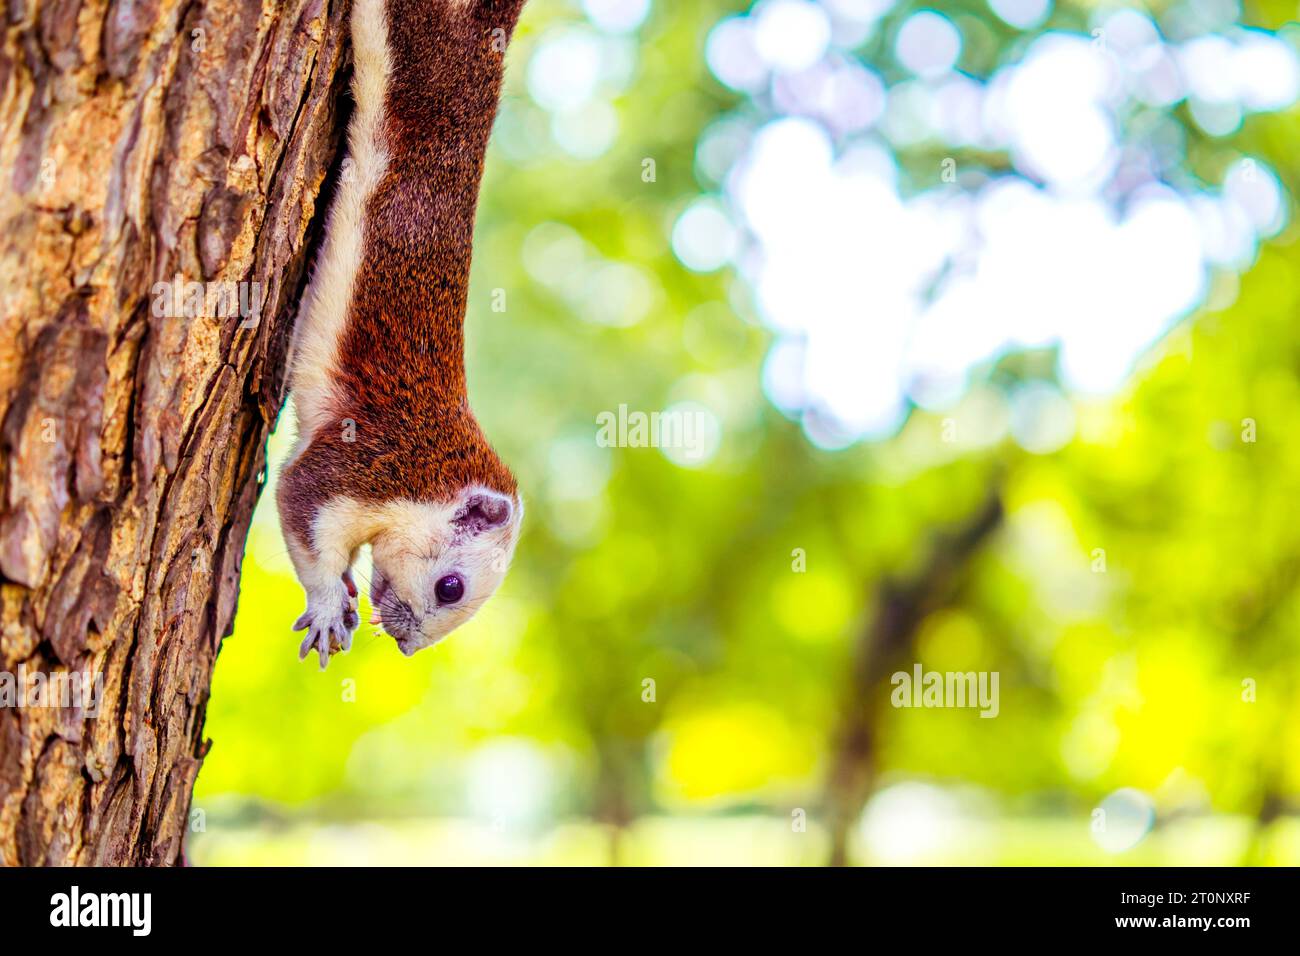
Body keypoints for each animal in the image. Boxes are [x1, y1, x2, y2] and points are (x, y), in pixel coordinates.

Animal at [277, 0, 528, 668]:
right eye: (451, 587)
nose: (408, 647)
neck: (431, 478)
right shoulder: (364, 464)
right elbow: (300, 506)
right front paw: (326, 607)